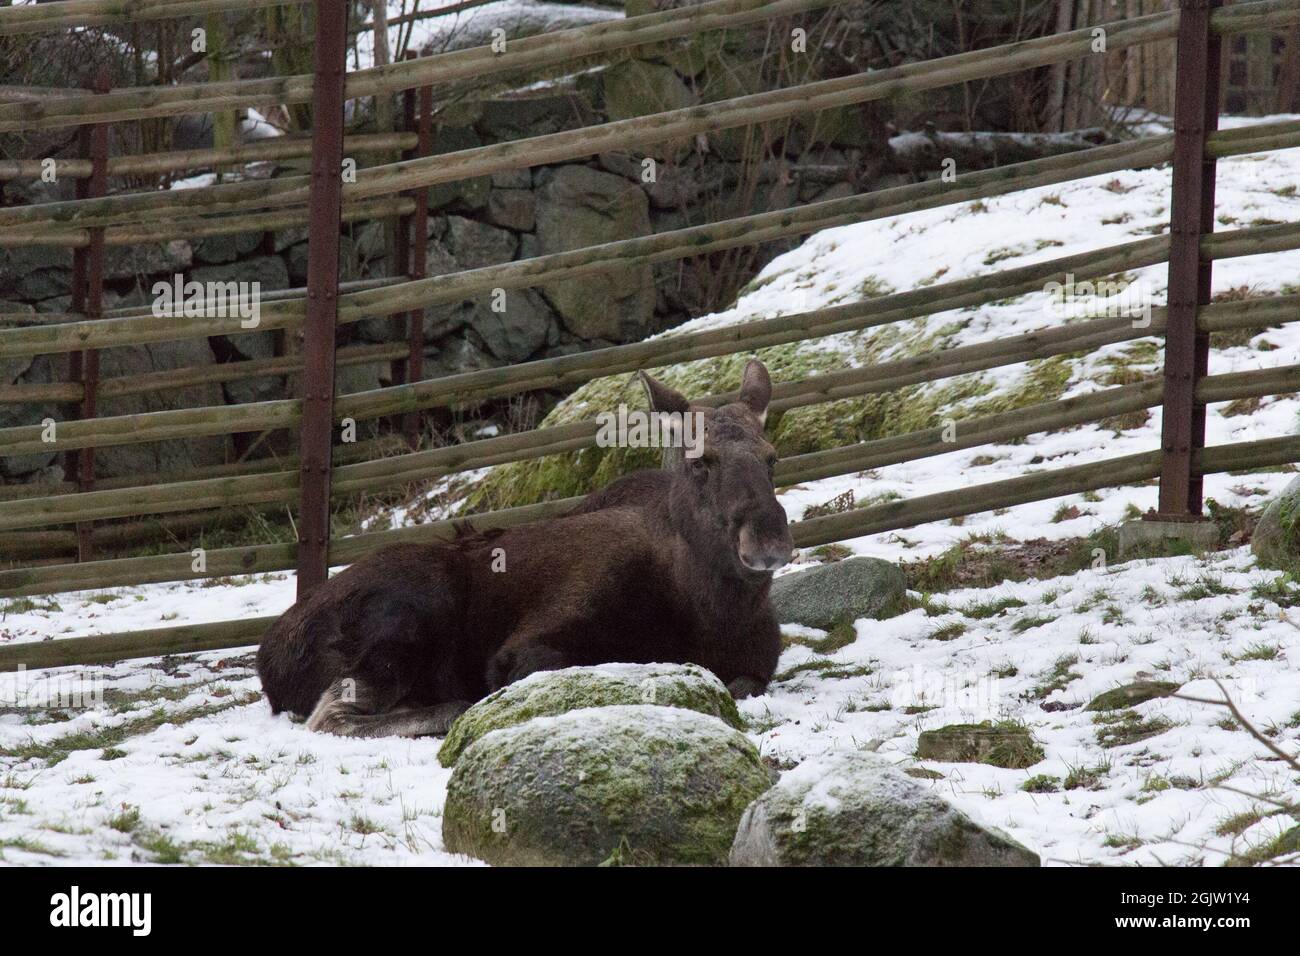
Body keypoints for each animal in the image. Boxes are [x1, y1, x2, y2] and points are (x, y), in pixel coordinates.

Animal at [255, 359, 793, 738]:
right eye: (700, 461)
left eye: (771, 458)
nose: (768, 538)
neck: (712, 610)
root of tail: (269, 656)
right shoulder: (523, 647)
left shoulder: (758, 664)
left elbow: (740, 680)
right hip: (407, 617)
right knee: (334, 715)